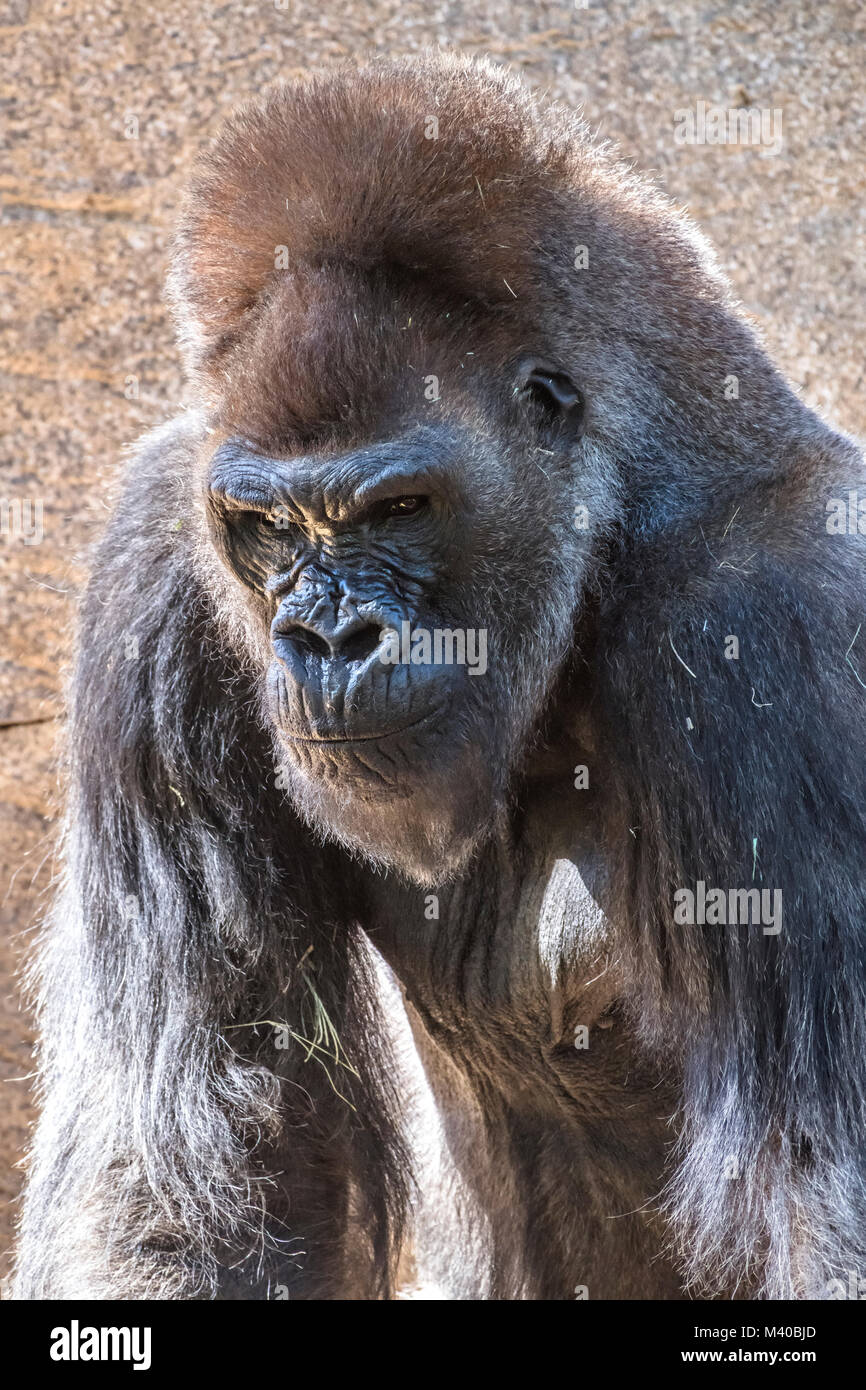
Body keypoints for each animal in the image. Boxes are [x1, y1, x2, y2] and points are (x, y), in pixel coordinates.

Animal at [13, 52, 866, 1300]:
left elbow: (823, 1191)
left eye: (398, 509)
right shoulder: (154, 567)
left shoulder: (779, 626)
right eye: (267, 526)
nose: (328, 638)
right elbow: (194, 1168)